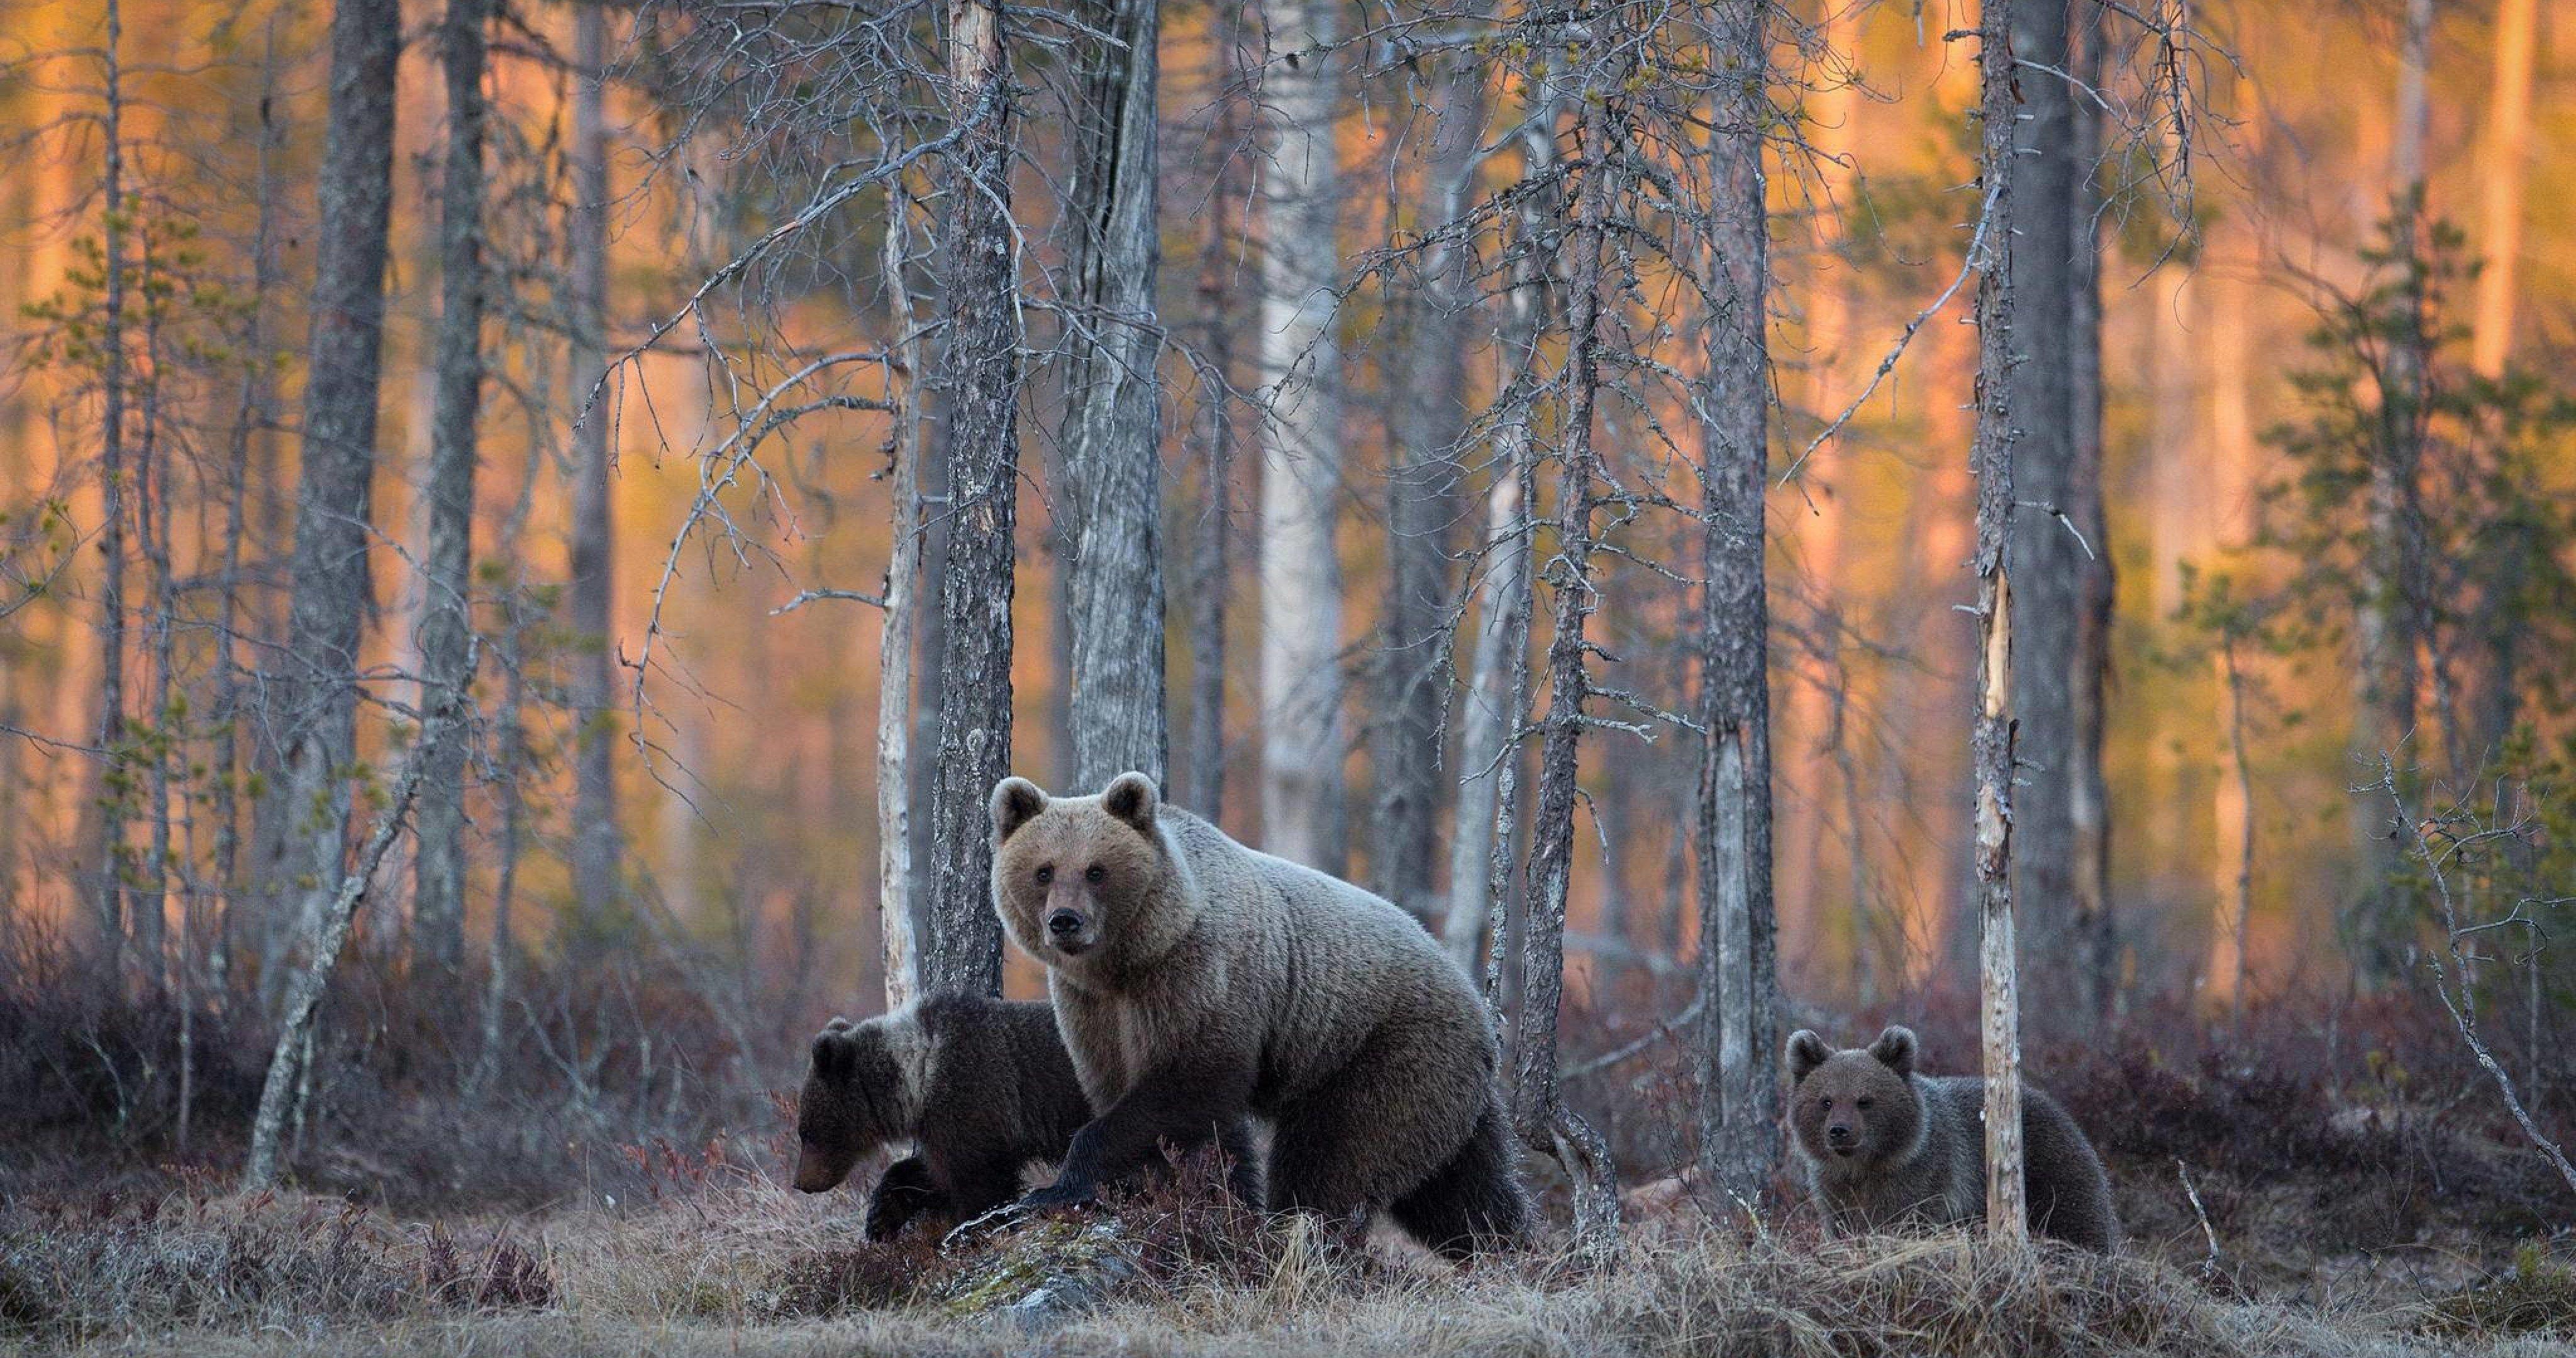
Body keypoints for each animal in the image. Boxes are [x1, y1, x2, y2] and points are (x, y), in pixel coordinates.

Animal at [793, 993, 1095, 1241]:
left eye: (806, 1133)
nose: (800, 1183)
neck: (919, 1078)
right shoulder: (941, 1124)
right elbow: (930, 1174)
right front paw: (879, 1220)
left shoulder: (971, 1098)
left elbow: (978, 1182)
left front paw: (974, 1228)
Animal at [986, 771, 1529, 1259]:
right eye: (1044, 870)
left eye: (1096, 870)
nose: (1066, 921)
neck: (1130, 962)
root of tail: (1478, 1008)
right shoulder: (1093, 1009)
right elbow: (1152, 1106)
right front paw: (1193, 1197)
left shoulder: (1201, 980)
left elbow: (1185, 1088)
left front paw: (1057, 1188)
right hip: (1443, 1091)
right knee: (1460, 1188)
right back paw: (1510, 1249)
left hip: (1382, 1053)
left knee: (1335, 1160)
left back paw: (1304, 1234)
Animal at [1784, 1025, 2119, 1252]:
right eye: (1826, 1101)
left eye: (1864, 1100)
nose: (1839, 1131)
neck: (1867, 1165)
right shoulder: (1832, 1184)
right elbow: (1842, 1221)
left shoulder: (1921, 1174)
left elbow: (1904, 1217)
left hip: (2052, 1165)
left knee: (2079, 1214)